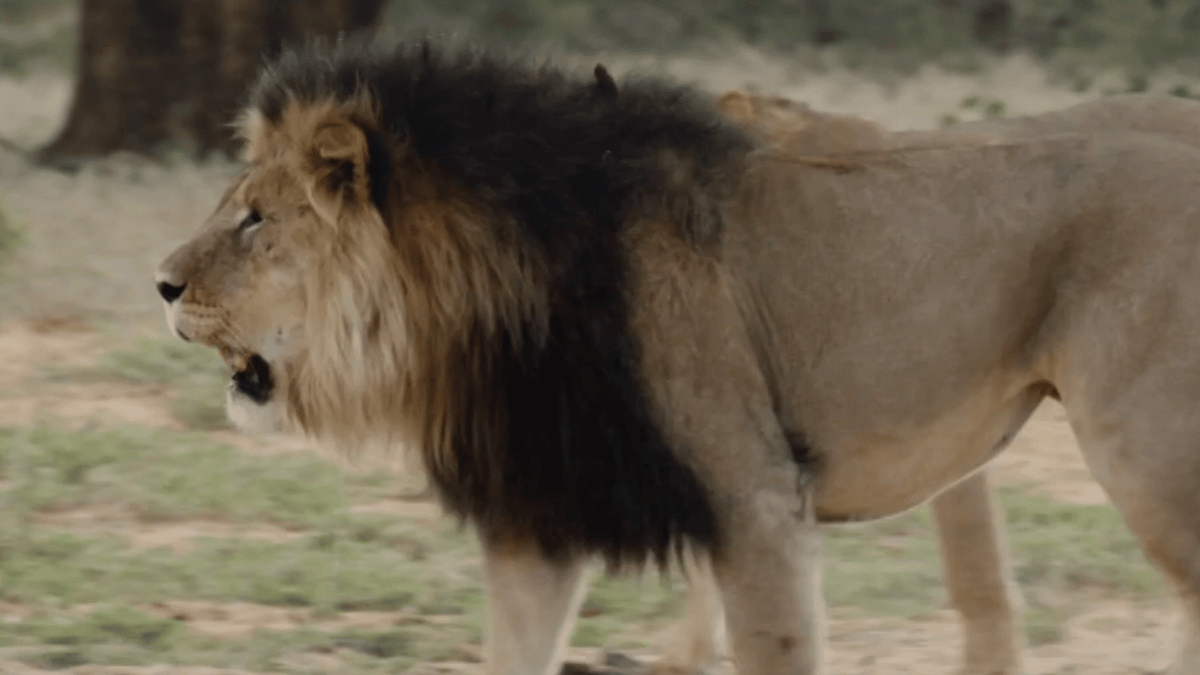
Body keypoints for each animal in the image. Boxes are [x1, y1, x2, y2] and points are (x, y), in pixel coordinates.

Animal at [156, 40, 1200, 675]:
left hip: (1148, 451)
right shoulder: (540, 517)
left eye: (256, 220)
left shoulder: (757, 500)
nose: (160, 285)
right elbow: (514, 654)